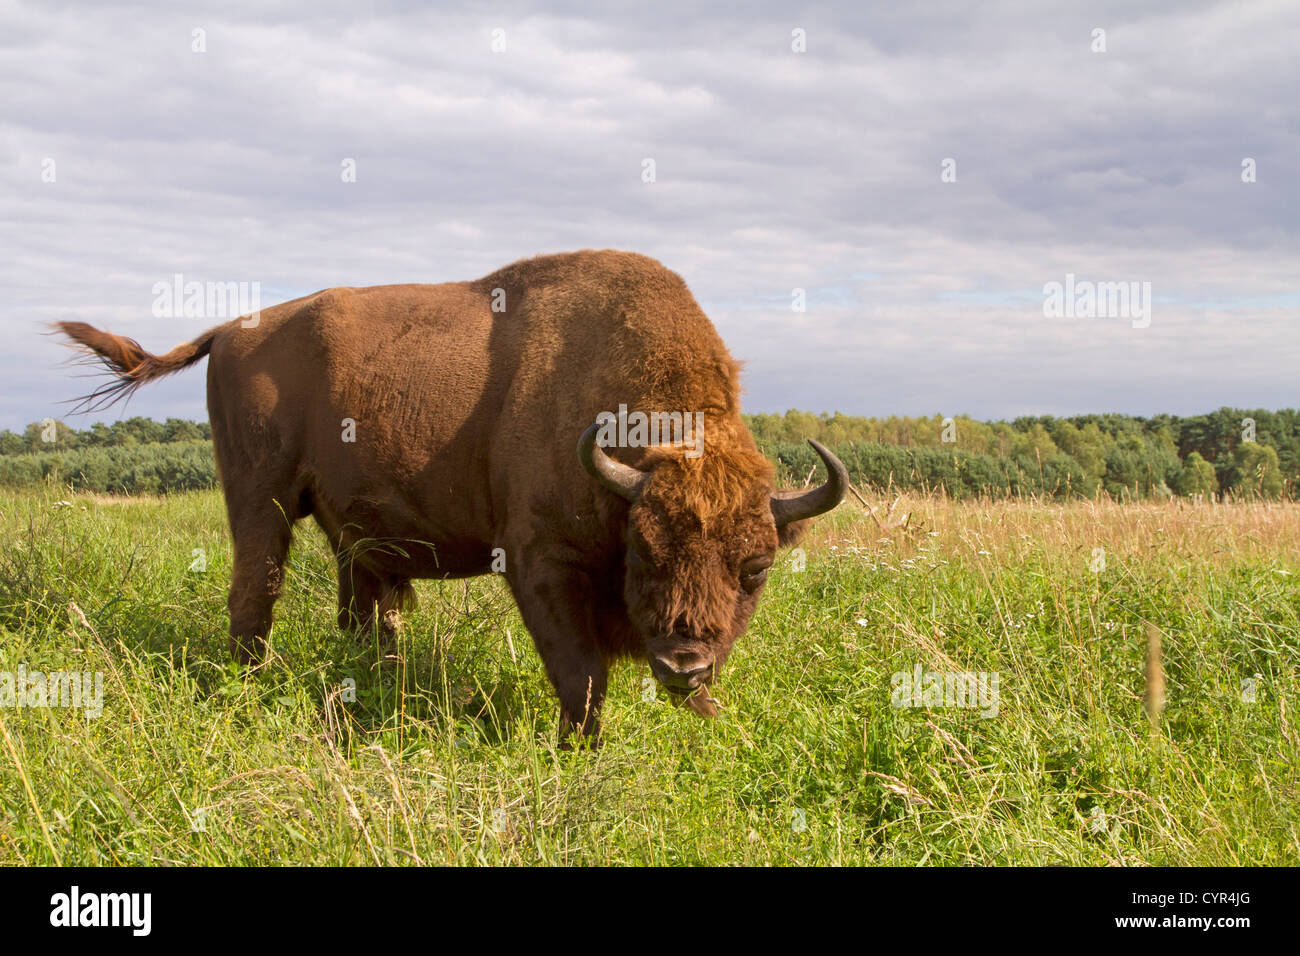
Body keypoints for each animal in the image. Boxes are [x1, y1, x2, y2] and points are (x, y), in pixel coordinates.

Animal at [58, 250, 847, 741]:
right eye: (644, 553)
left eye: (757, 569)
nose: (685, 666)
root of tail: (231, 329)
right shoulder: (539, 564)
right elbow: (582, 677)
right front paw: (580, 749)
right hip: (261, 505)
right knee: (255, 595)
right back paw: (250, 689)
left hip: (347, 537)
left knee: (363, 615)